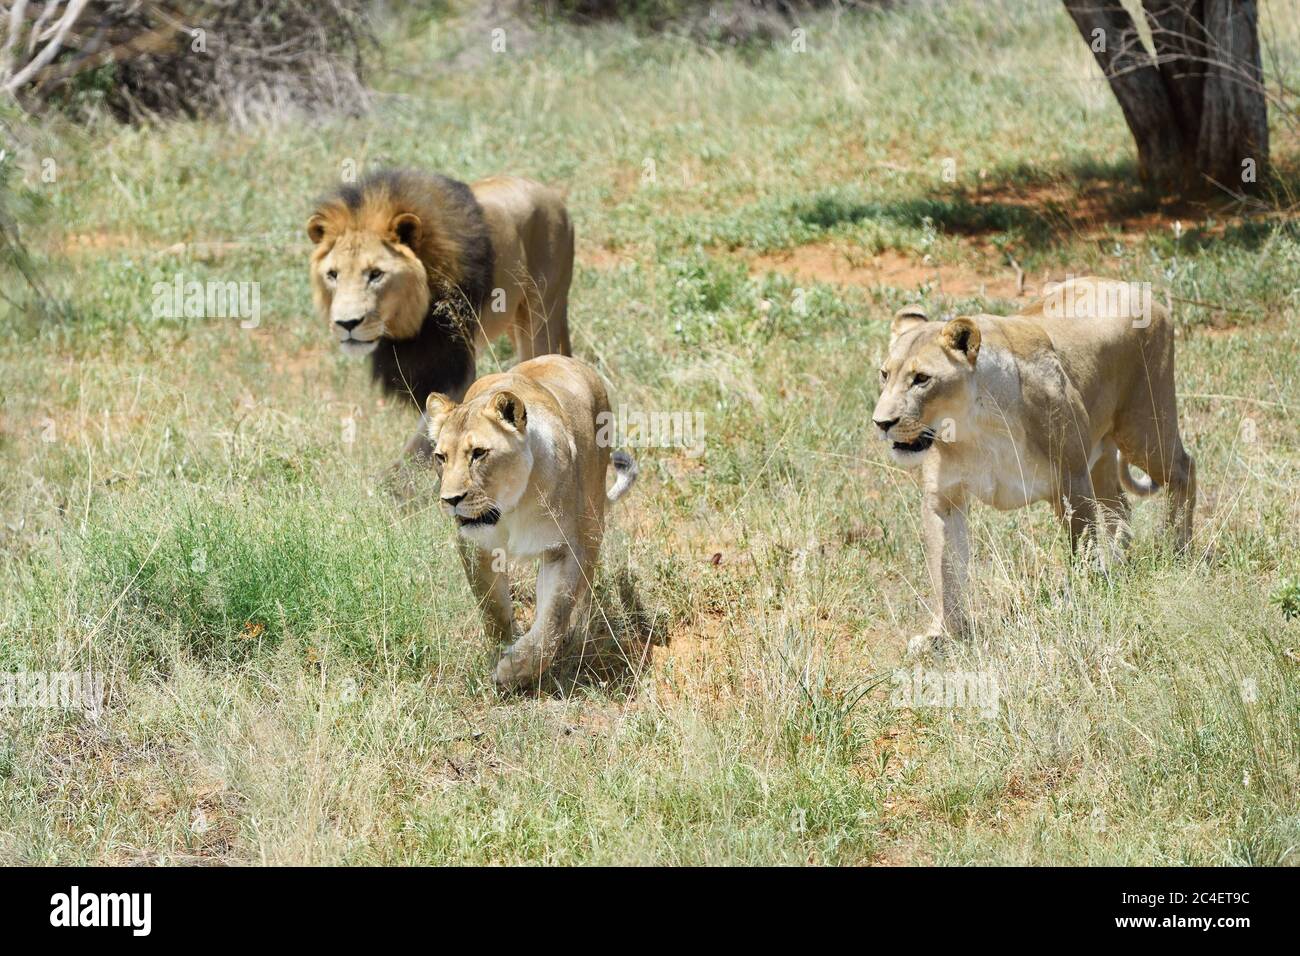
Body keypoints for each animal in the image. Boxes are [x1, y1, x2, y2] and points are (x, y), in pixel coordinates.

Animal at [307, 168, 574, 468]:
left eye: (376, 274)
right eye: (333, 275)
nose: (347, 324)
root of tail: (553, 196)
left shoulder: (457, 365)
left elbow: (425, 433)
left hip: (540, 310)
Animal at [425, 354, 637, 691]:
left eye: (479, 453)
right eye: (441, 457)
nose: (450, 499)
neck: (510, 507)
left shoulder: (562, 549)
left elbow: (553, 619)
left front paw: (514, 671)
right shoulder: (475, 546)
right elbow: (493, 609)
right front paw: (502, 651)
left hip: (592, 520)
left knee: (585, 590)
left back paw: (578, 634)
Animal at [872, 276, 1196, 645]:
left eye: (922, 379)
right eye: (884, 374)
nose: (881, 422)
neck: (975, 428)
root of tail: (1133, 289)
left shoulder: (1072, 482)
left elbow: (1081, 550)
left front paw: (1083, 600)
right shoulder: (943, 499)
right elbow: (946, 570)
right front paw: (944, 634)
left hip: (1144, 427)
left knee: (1184, 470)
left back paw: (1177, 550)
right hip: (1102, 454)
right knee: (1119, 505)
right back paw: (1116, 562)